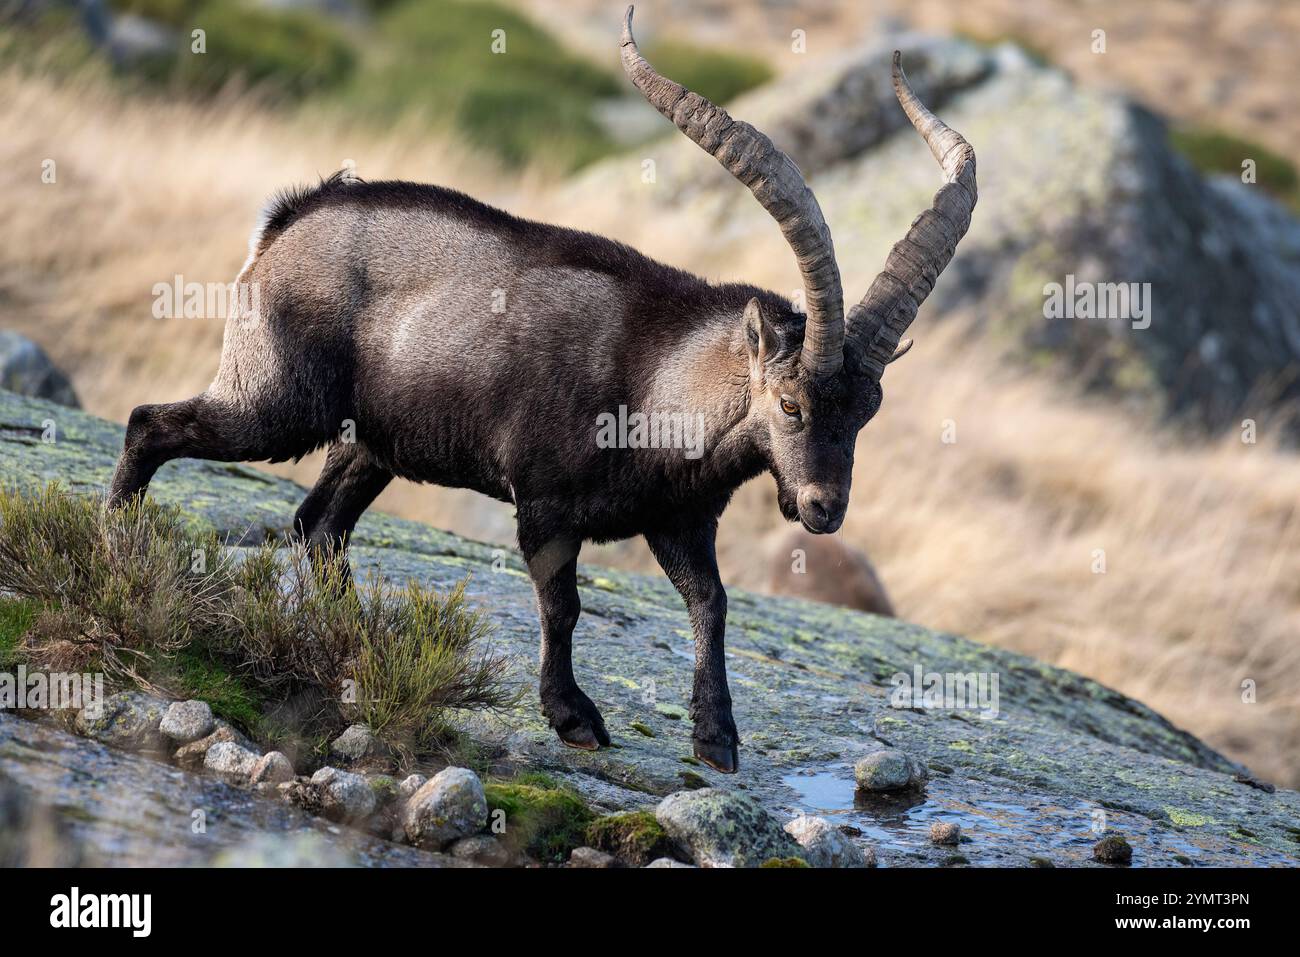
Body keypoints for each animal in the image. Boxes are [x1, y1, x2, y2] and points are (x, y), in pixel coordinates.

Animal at [109, 8, 977, 773]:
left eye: (867, 412)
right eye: (791, 403)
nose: (825, 508)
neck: (656, 382)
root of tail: (289, 219)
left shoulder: (678, 518)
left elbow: (712, 601)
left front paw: (717, 737)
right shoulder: (545, 501)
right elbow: (564, 603)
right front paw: (573, 717)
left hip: (371, 444)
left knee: (317, 527)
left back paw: (360, 645)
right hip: (276, 401)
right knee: (154, 422)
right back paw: (119, 547)